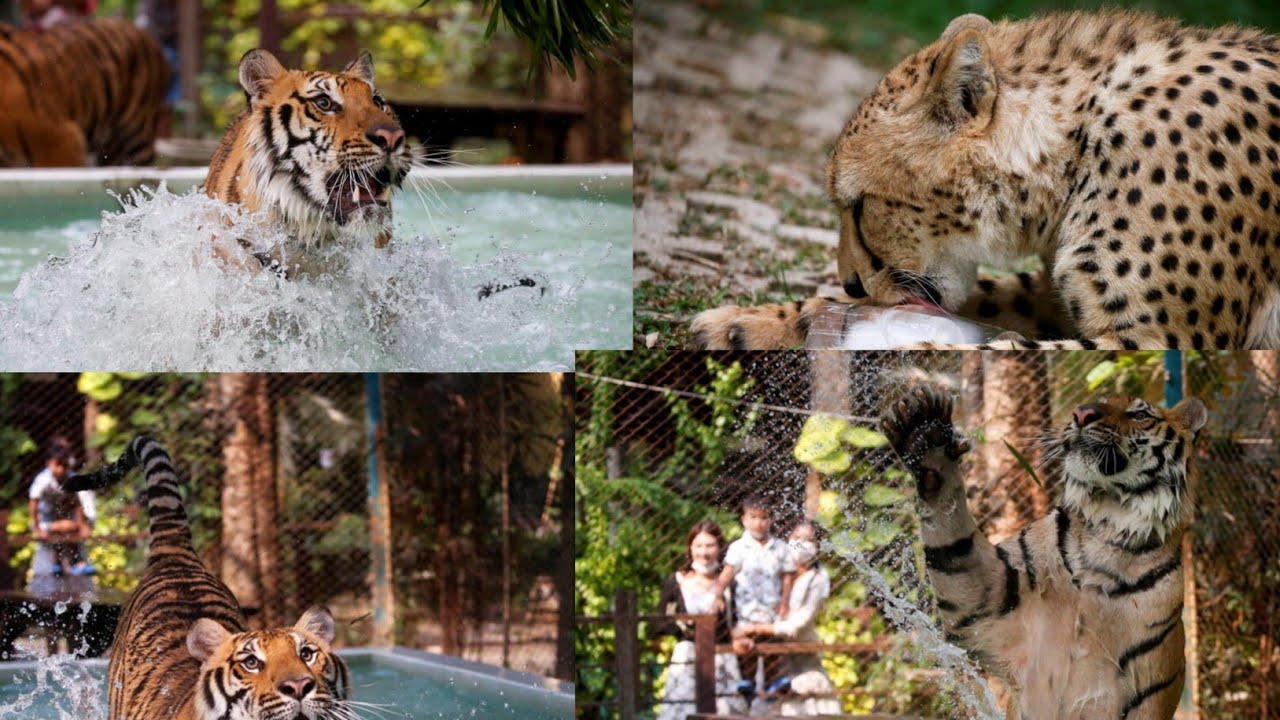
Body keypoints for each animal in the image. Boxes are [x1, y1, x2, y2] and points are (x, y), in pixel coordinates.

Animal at [879, 385, 1205, 720]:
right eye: (1096, 402)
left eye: (1140, 414)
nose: (1081, 413)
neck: (1110, 529)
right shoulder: (987, 601)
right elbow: (953, 539)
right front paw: (924, 431)